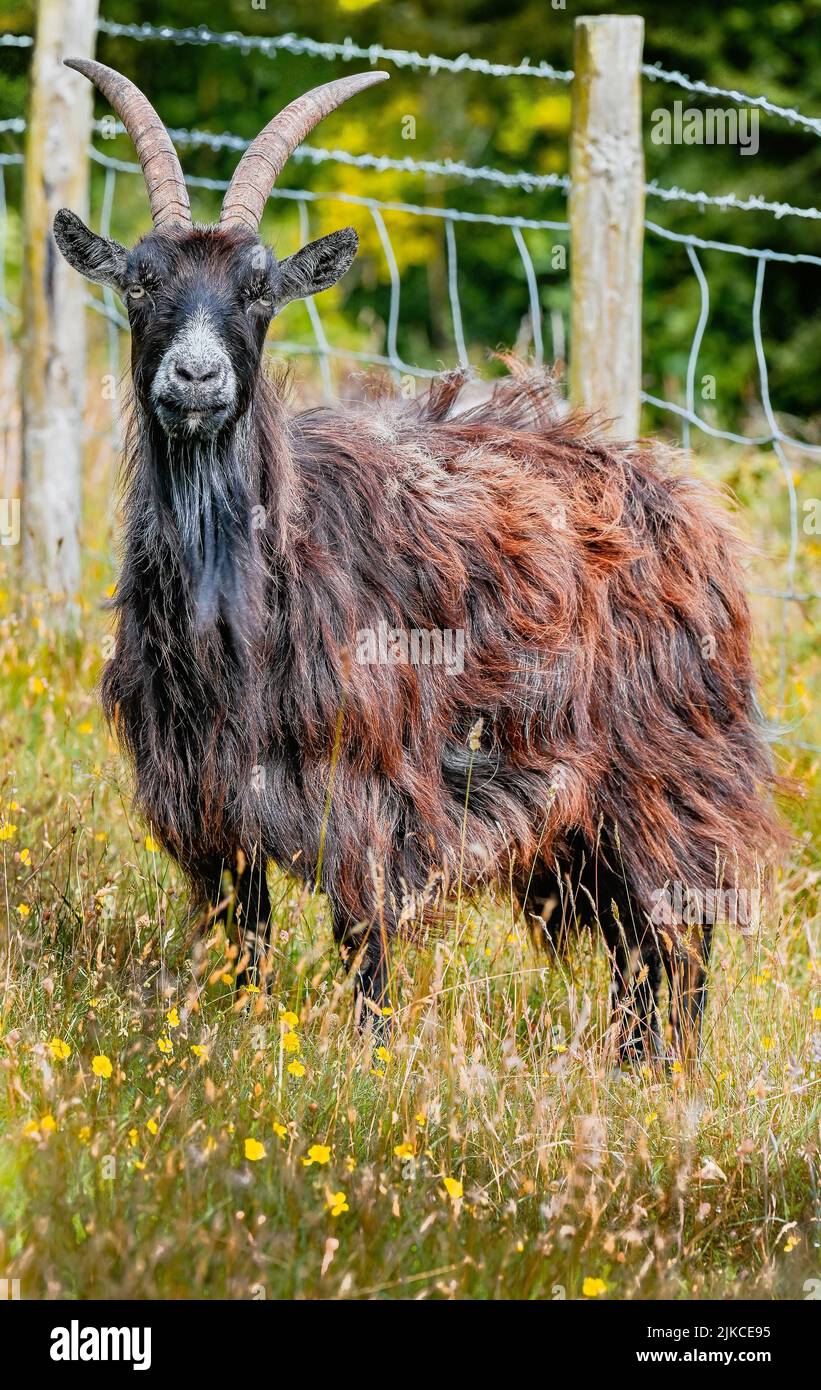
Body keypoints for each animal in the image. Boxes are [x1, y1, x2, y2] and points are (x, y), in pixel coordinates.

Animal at [54, 59, 782, 1065]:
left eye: (259, 289)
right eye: (138, 282)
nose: (195, 379)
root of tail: (692, 509)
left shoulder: (368, 790)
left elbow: (364, 942)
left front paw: (365, 1061)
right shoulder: (208, 803)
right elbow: (245, 944)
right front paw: (239, 1048)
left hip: (668, 772)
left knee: (680, 932)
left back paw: (664, 1068)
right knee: (638, 946)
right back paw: (631, 1066)